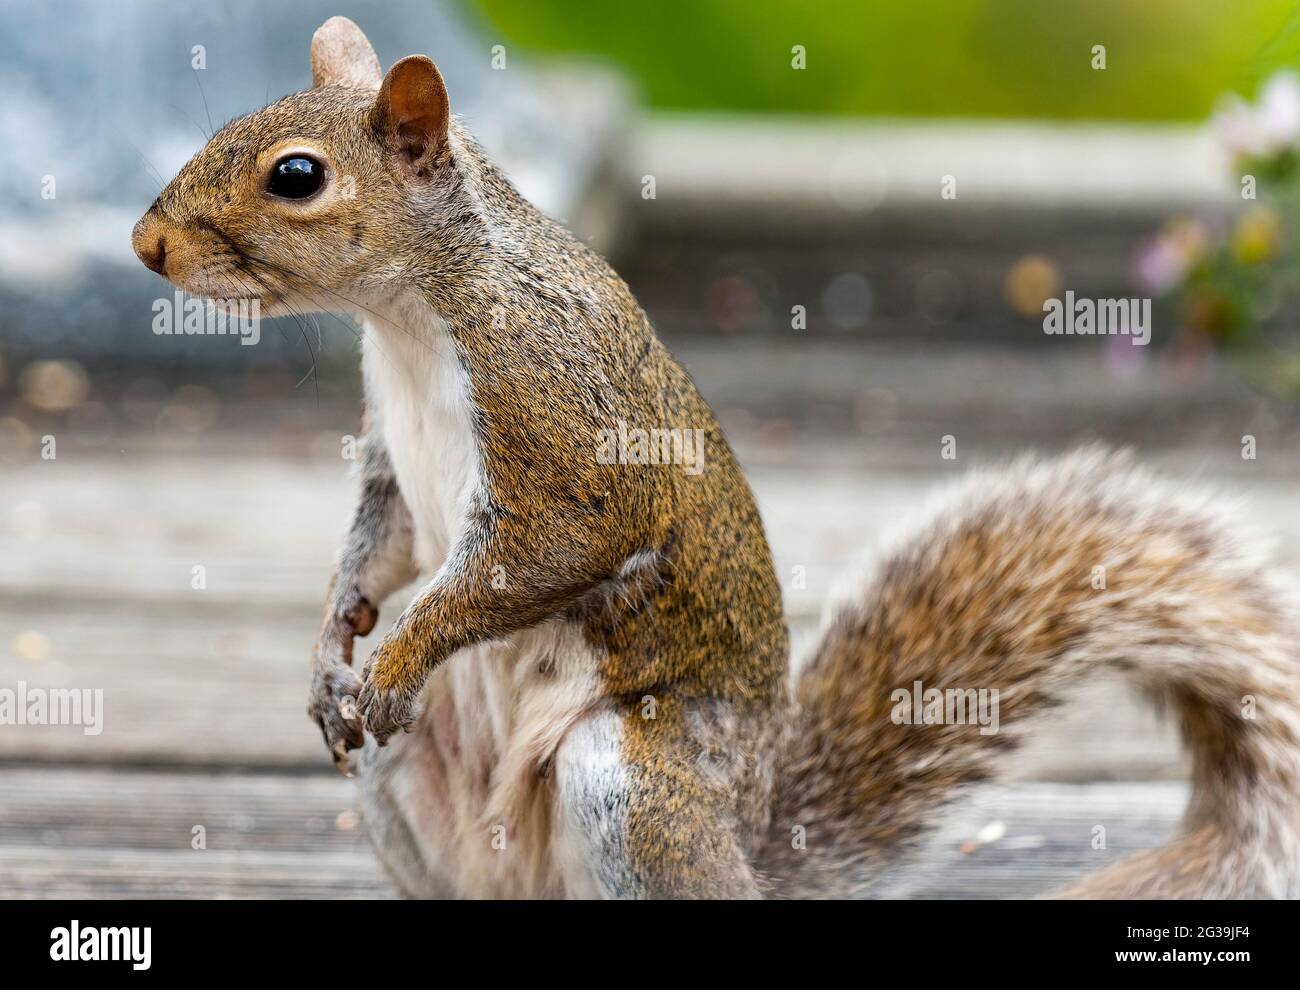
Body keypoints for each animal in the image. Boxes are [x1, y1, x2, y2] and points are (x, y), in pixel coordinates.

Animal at [131, 16, 1300, 899]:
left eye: (296, 176)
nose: (147, 245)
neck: (414, 313)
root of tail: (751, 836)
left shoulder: (559, 419)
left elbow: (544, 550)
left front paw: (399, 654)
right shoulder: (395, 462)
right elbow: (385, 545)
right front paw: (333, 650)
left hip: (631, 779)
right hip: (409, 781)